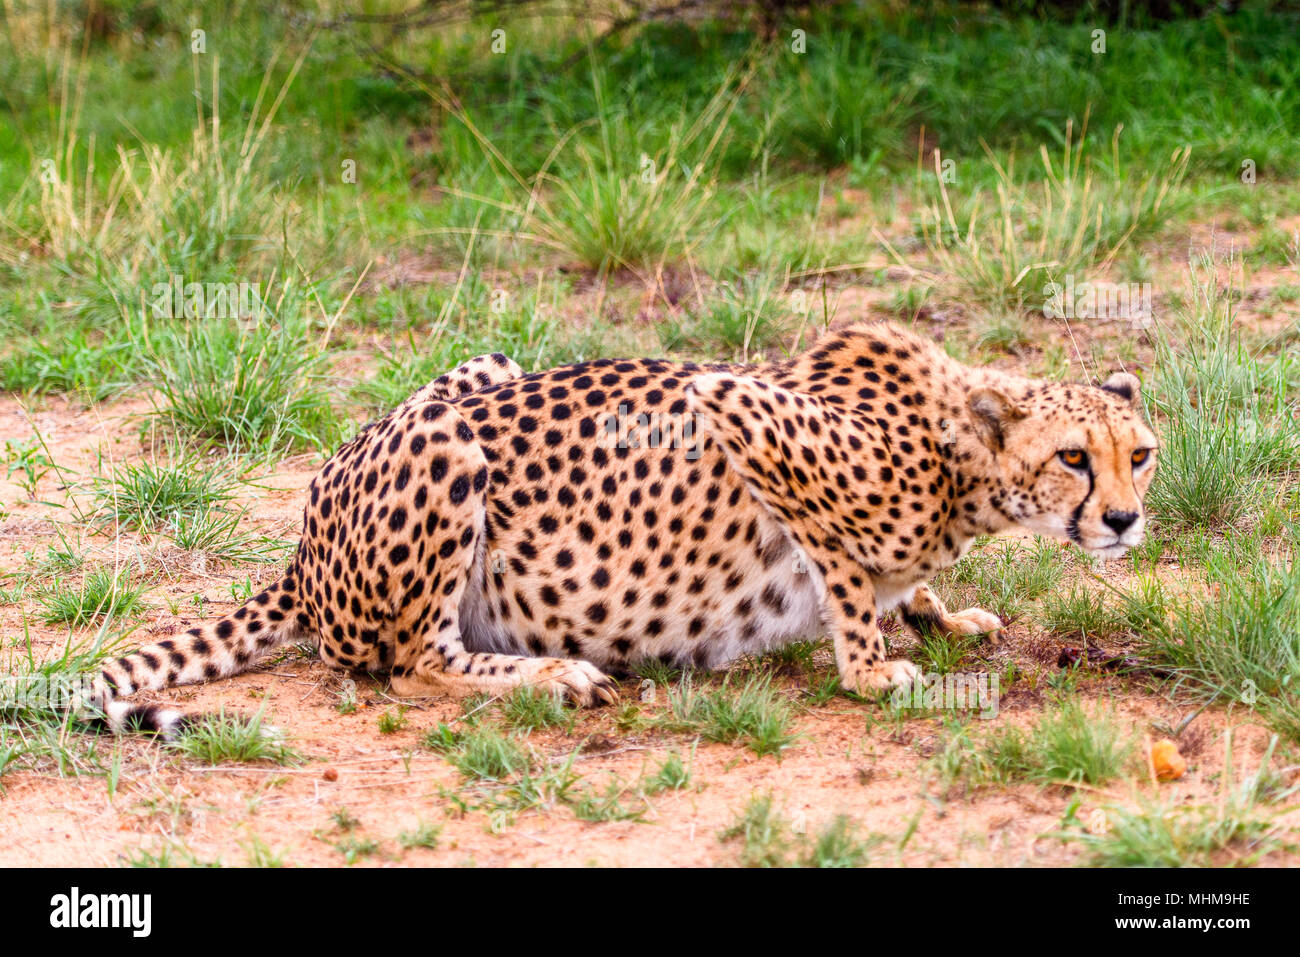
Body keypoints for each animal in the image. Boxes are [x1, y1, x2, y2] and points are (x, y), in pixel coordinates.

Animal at [82, 322, 1158, 736]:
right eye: (1073, 457)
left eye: (1139, 454)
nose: (1123, 519)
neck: (957, 460)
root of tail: (302, 552)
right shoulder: (736, 405)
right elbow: (845, 574)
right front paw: (870, 664)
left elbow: (904, 582)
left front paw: (942, 612)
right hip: (445, 447)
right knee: (412, 663)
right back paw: (551, 675)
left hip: (481, 367)